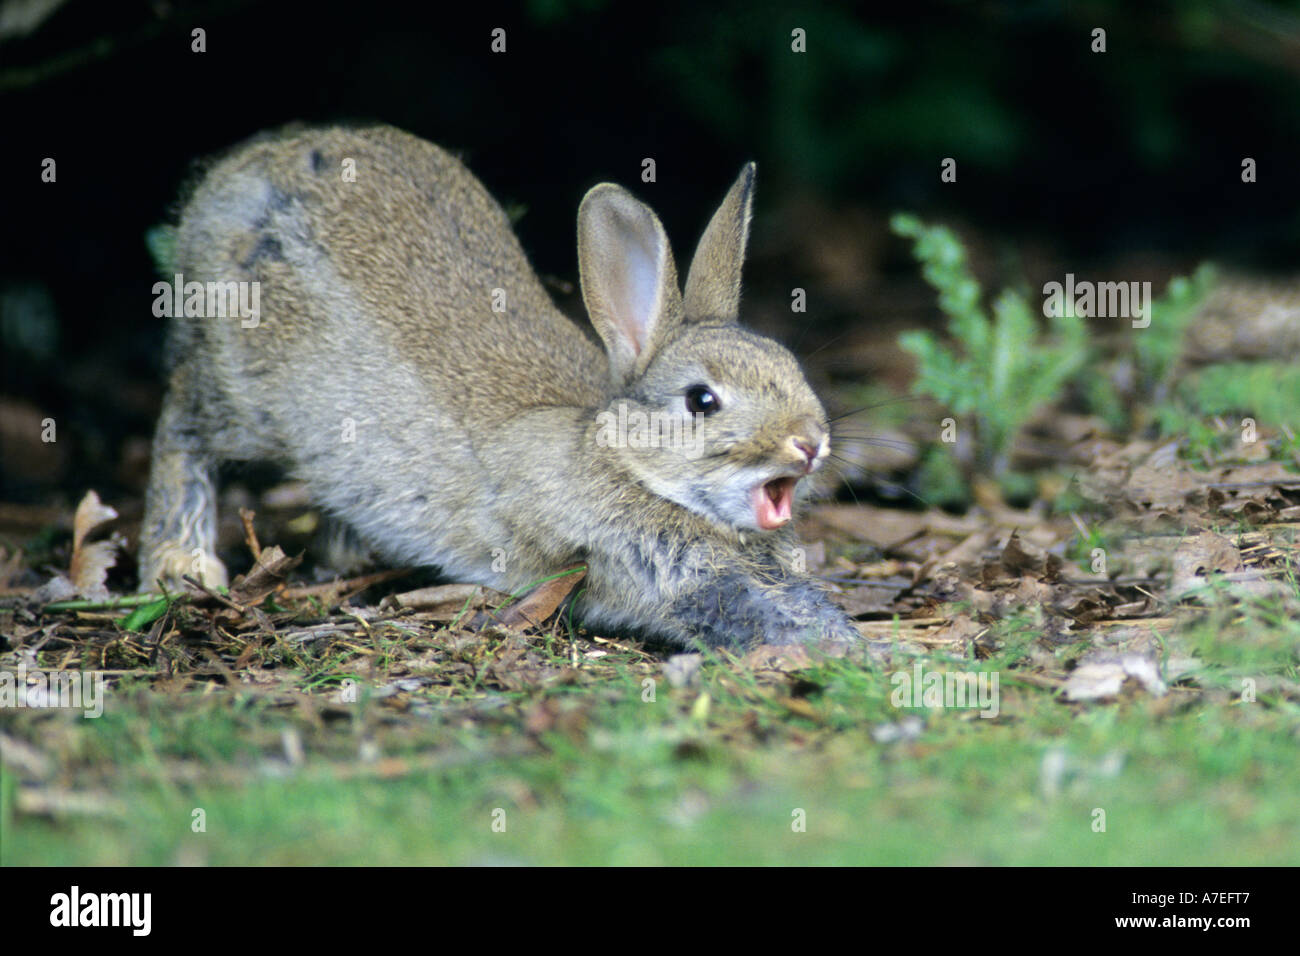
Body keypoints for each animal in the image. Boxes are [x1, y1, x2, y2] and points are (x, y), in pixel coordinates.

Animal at [139, 124, 858, 649]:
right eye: (701, 401)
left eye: (790, 365)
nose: (810, 444)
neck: (628, 462)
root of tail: (235, 177)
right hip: (244, 391)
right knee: (182, 425)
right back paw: (180, 562)